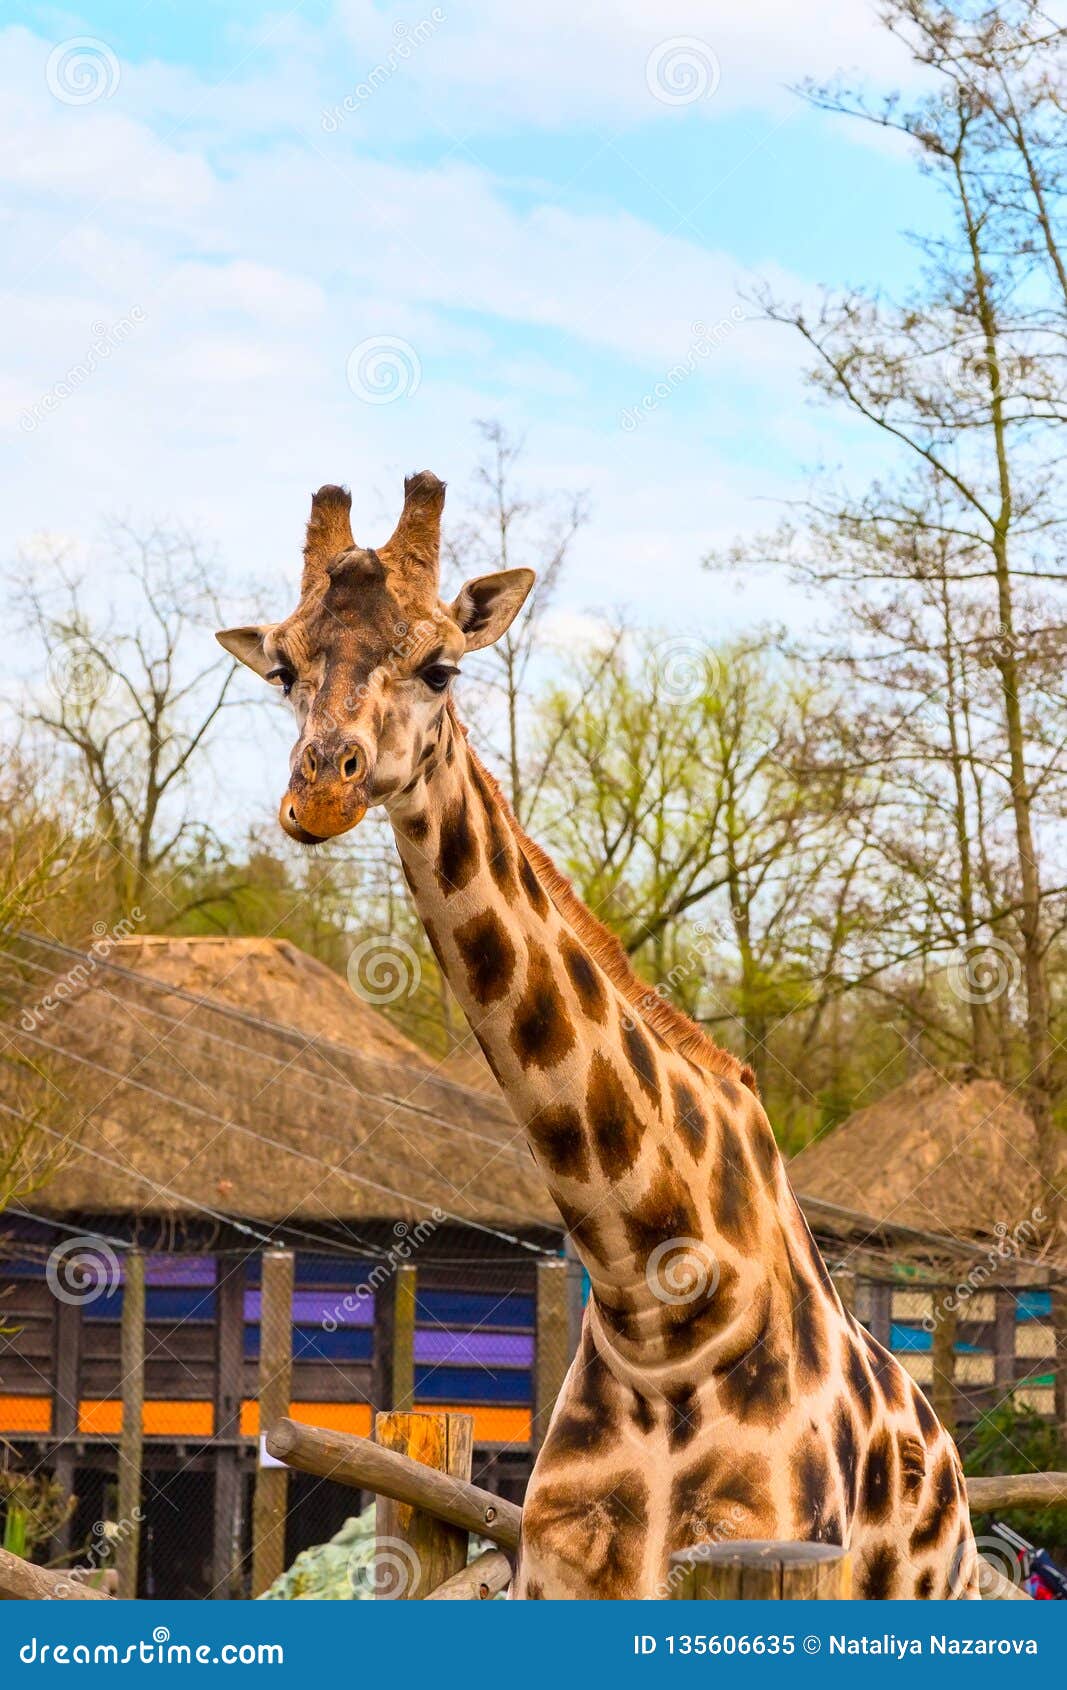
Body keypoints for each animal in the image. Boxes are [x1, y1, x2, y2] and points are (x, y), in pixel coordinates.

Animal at [218, 473, 979, 1600]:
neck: (652, 1308)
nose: (321, 786)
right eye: (283, 669)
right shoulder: (561, 1567)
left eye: (439, 665)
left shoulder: (773, 1541)